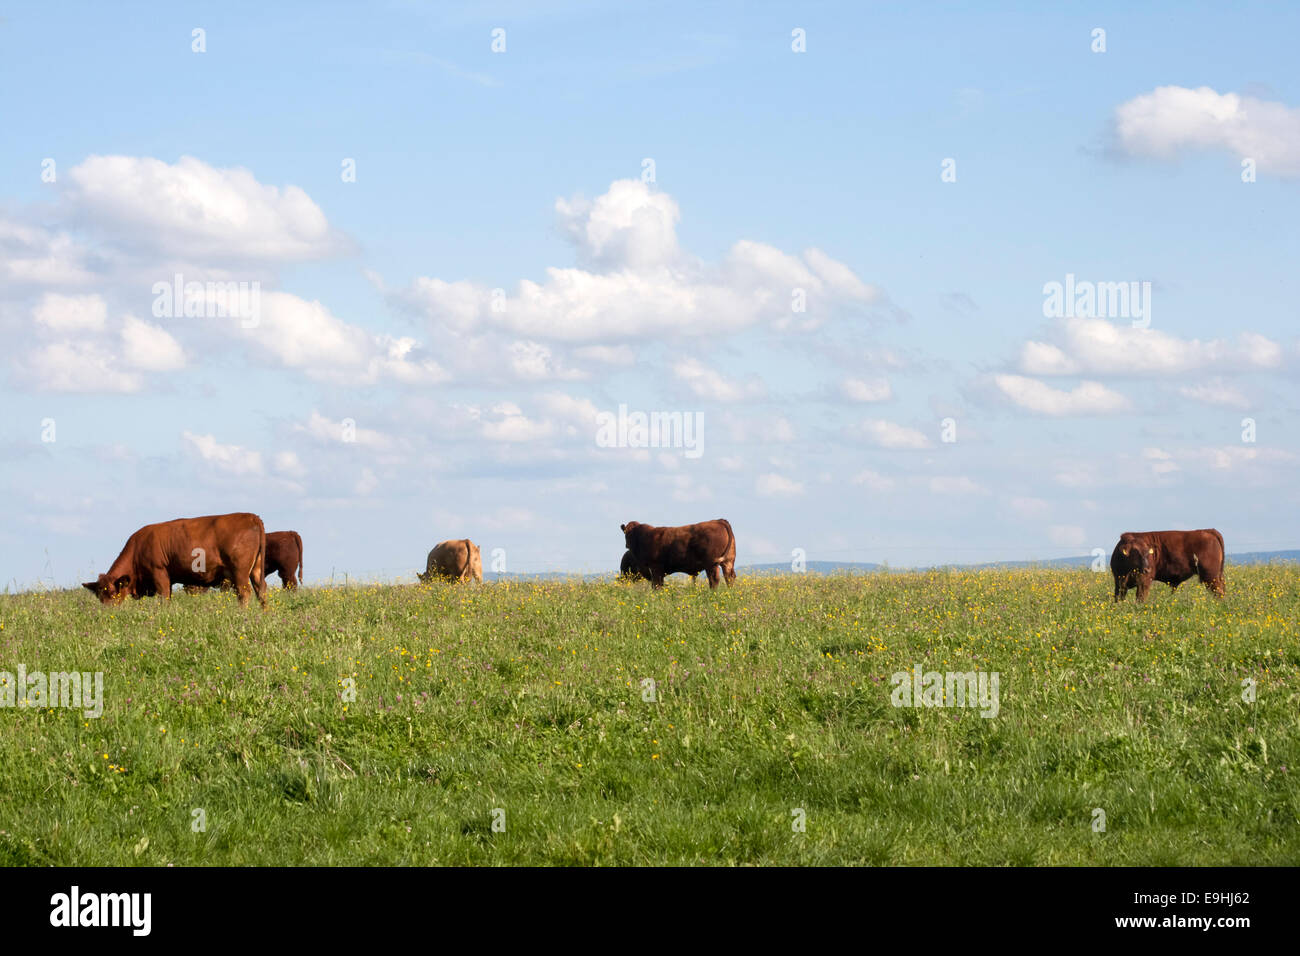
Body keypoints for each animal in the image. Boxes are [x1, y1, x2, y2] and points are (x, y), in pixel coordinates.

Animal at [83, 513, 268, 608]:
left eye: (113, 593)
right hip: (255, 570)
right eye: (99, 595)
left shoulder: (159, 573)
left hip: (240, 572)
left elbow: (164, 598)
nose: (107, 611)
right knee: (261, 591)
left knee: (244, 593)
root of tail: (251, 516)